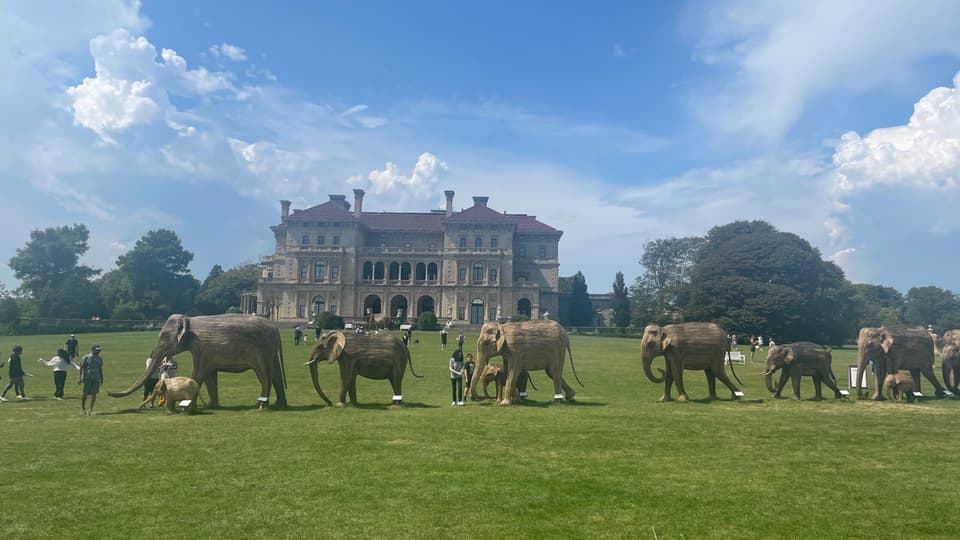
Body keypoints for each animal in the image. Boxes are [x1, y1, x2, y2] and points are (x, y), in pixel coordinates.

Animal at [110, 314, 287, 410]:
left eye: (164, 337)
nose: (108, 392)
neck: (189, 319)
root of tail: (276, 328)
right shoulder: (206, 351)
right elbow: (209, 376)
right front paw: (211, 406)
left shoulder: (201, 348)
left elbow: (199, 373)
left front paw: (190, 405)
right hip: (270, 351)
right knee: (276, 375)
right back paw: (279, 405)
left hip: (261, 351)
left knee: (265, 376)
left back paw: (260, 406)